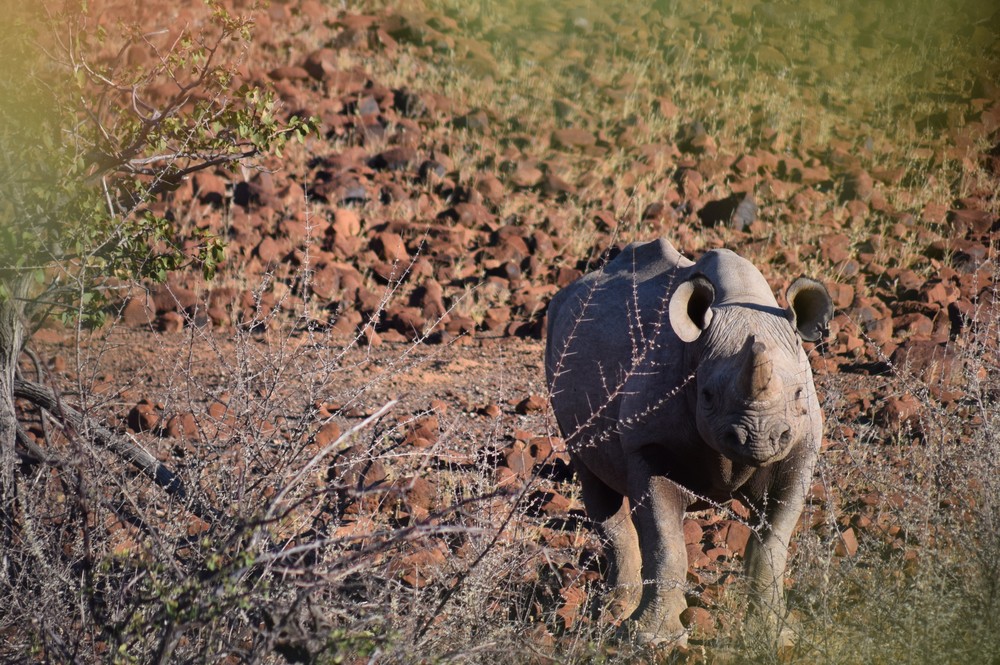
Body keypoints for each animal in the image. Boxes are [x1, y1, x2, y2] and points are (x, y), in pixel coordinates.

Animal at [545, 238, 832, 645]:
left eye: (796, 395)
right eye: (708, 396)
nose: (759, 439)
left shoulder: (800, 449)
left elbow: (772, 541)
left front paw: (777, 636)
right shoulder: (649, 446)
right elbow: (666, 543)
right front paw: (653, 640)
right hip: (556, 337)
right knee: (594, 480)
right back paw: (612, 613)